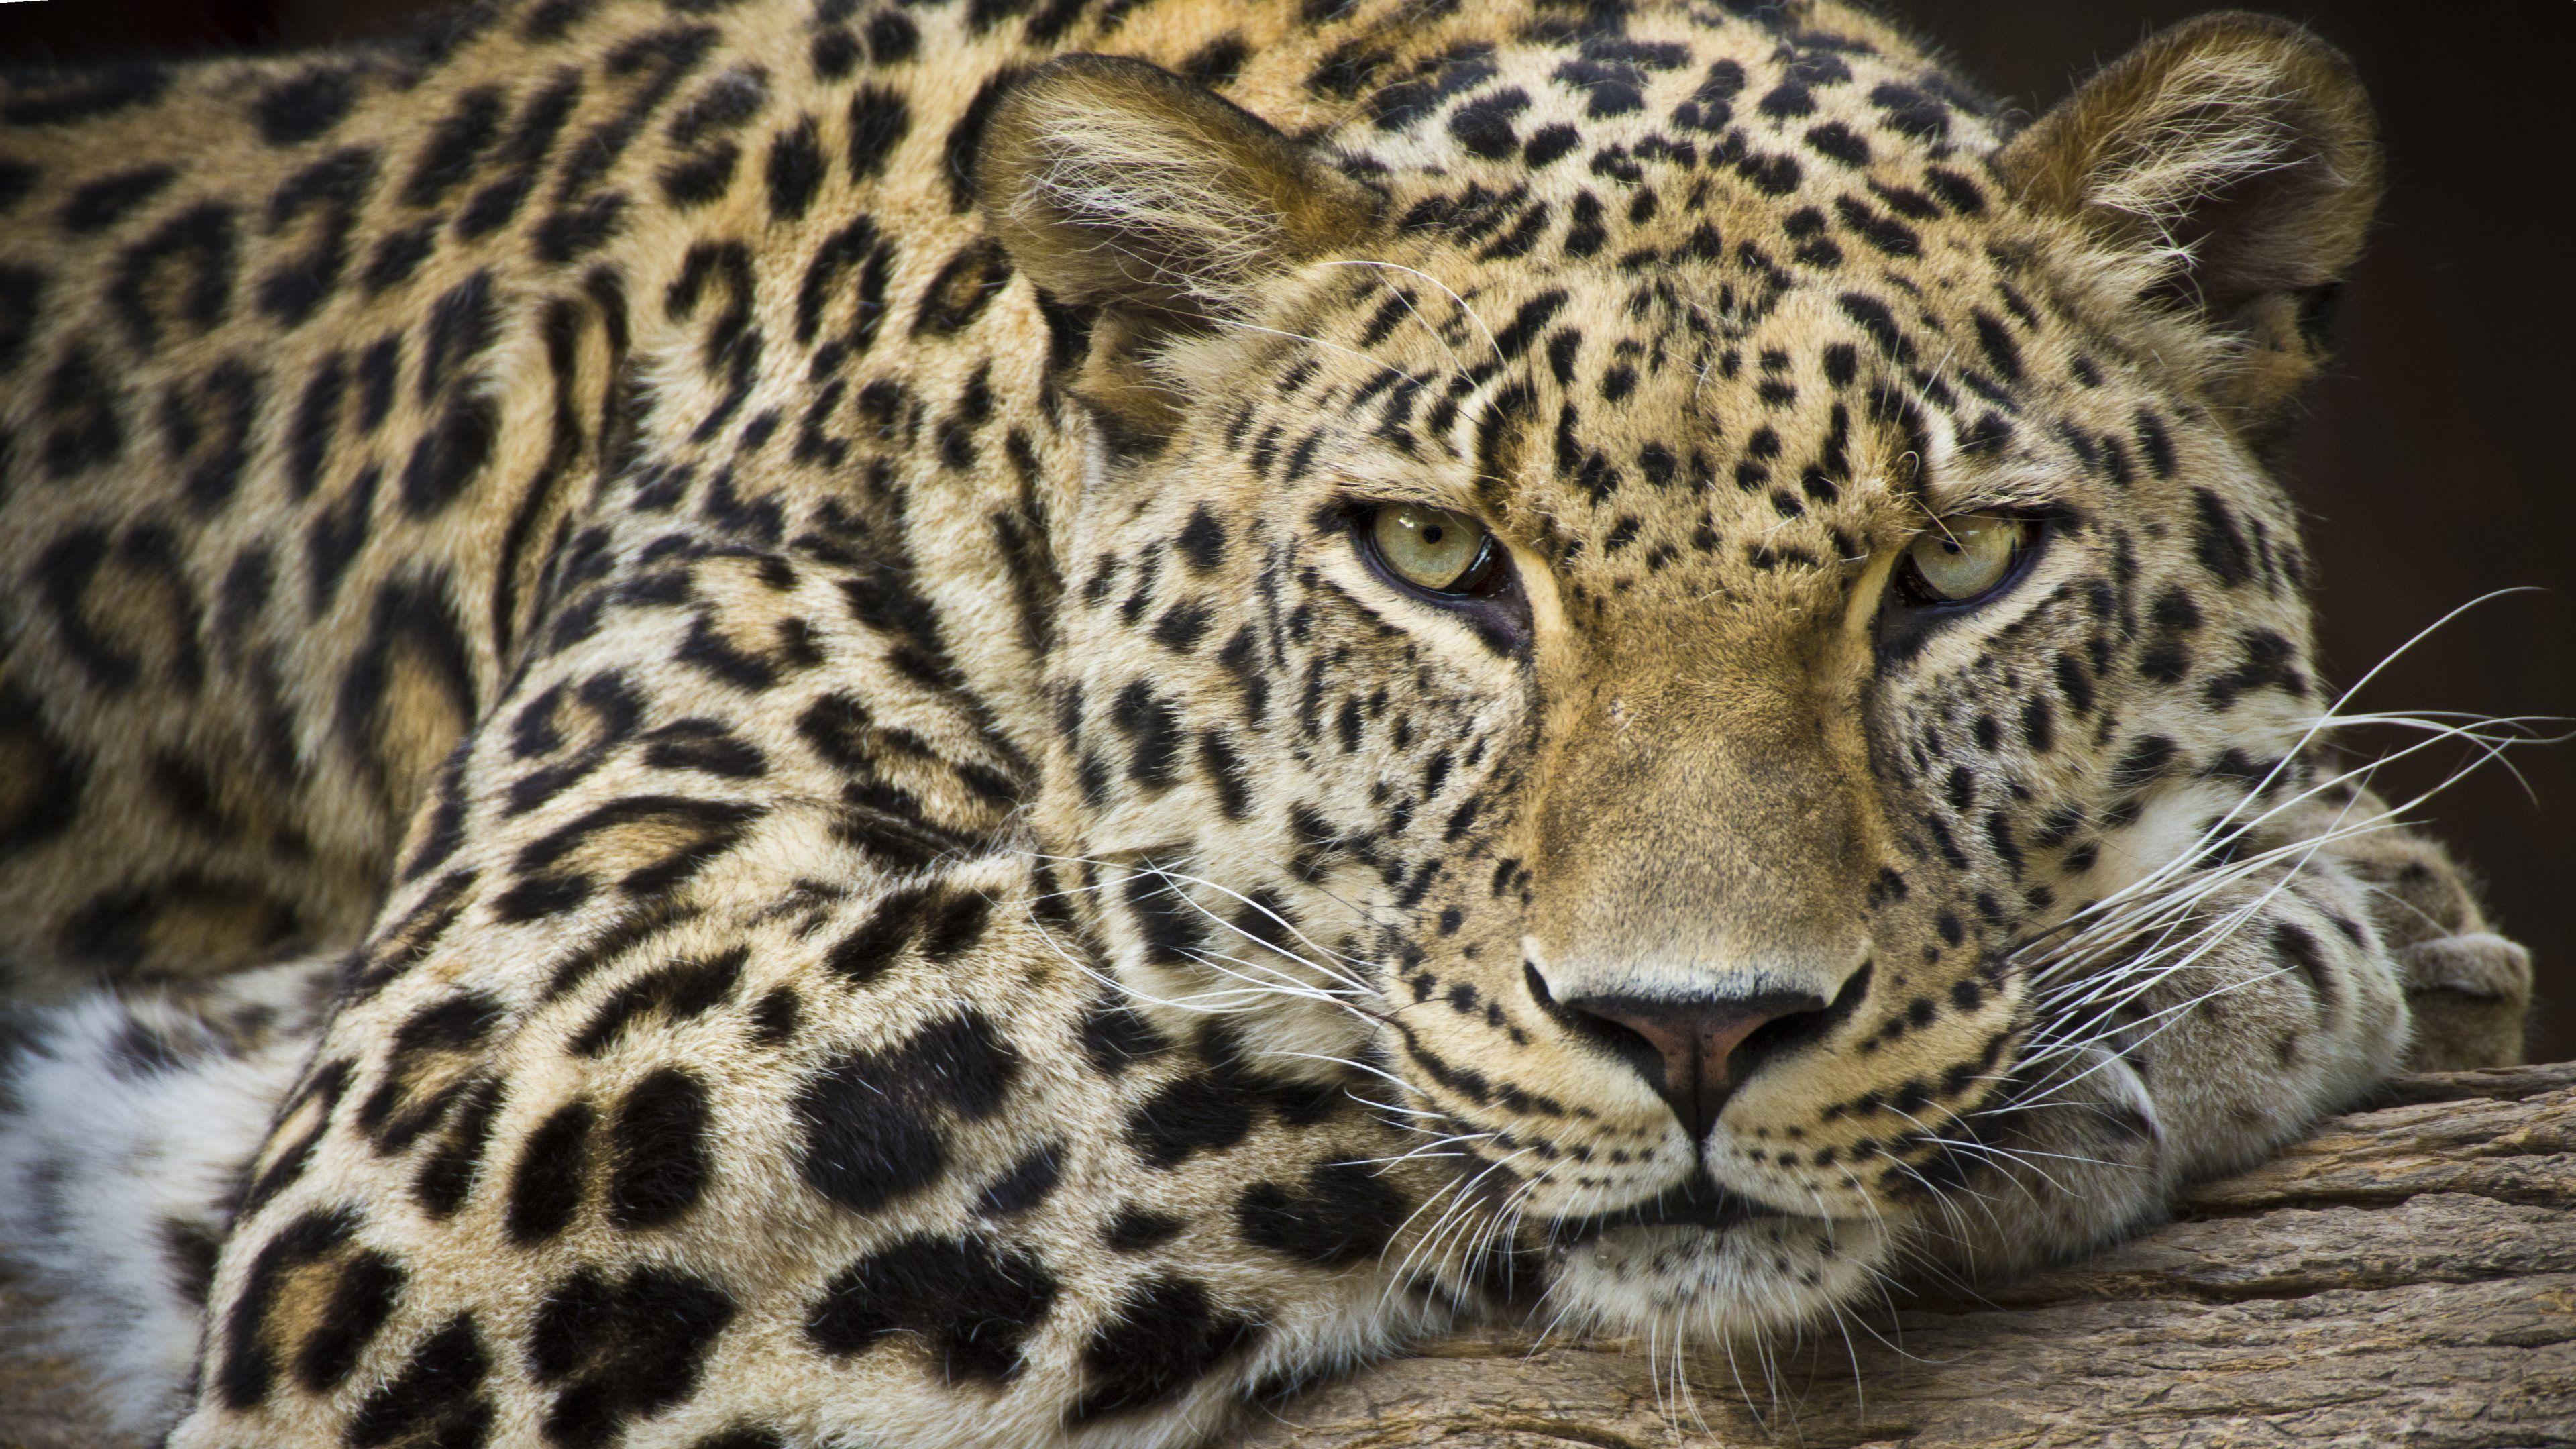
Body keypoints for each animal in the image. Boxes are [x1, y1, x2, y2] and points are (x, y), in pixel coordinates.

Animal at [0, 0, 2538, 1444]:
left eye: (1956, 568)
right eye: (1434, 560)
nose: (1699, 1034)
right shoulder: (481, 1091)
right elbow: (1218, 989)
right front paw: (2279, 939)